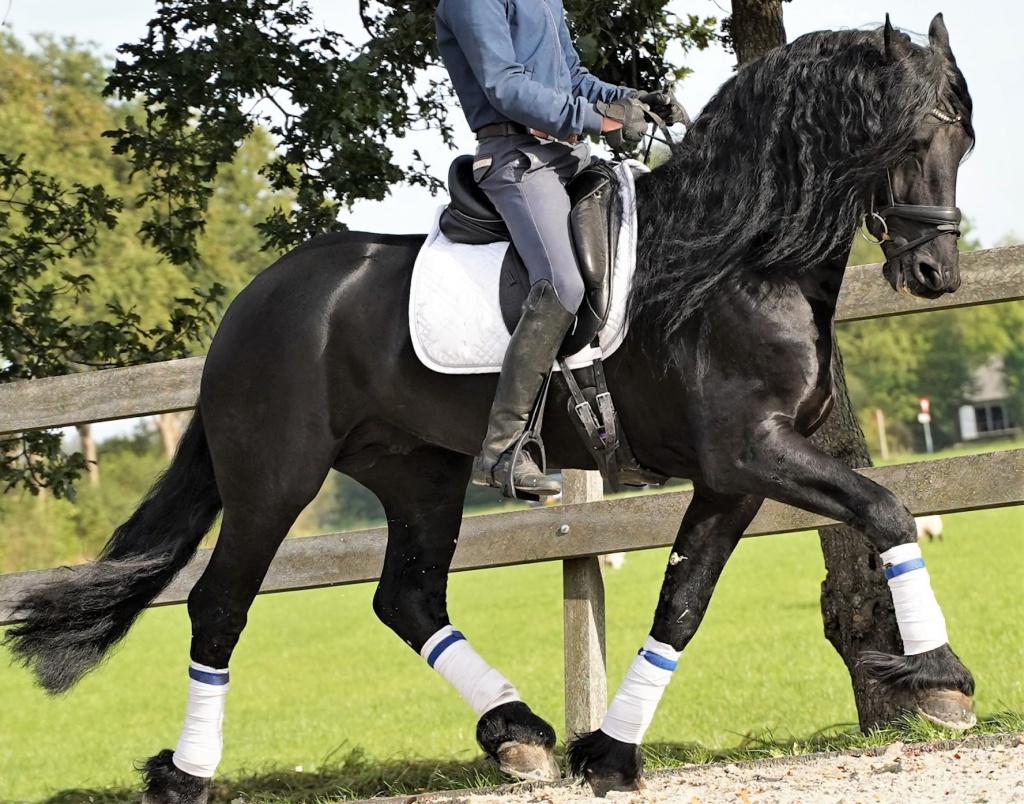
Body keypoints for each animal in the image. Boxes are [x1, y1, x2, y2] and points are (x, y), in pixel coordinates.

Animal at [6, 14, 975, 801]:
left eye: (964, 140)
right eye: (912, 136)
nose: (937, 274)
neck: (739, 264)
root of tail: (252, 304)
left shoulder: (731, 478)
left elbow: (681, 606)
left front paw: (610, 755)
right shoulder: (750, 452)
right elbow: (887, 506)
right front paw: (941, 678)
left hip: (419, 474)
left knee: (406, 600)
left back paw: (519, 736)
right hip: (274, 479)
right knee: (218, 606)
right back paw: (184, 774)